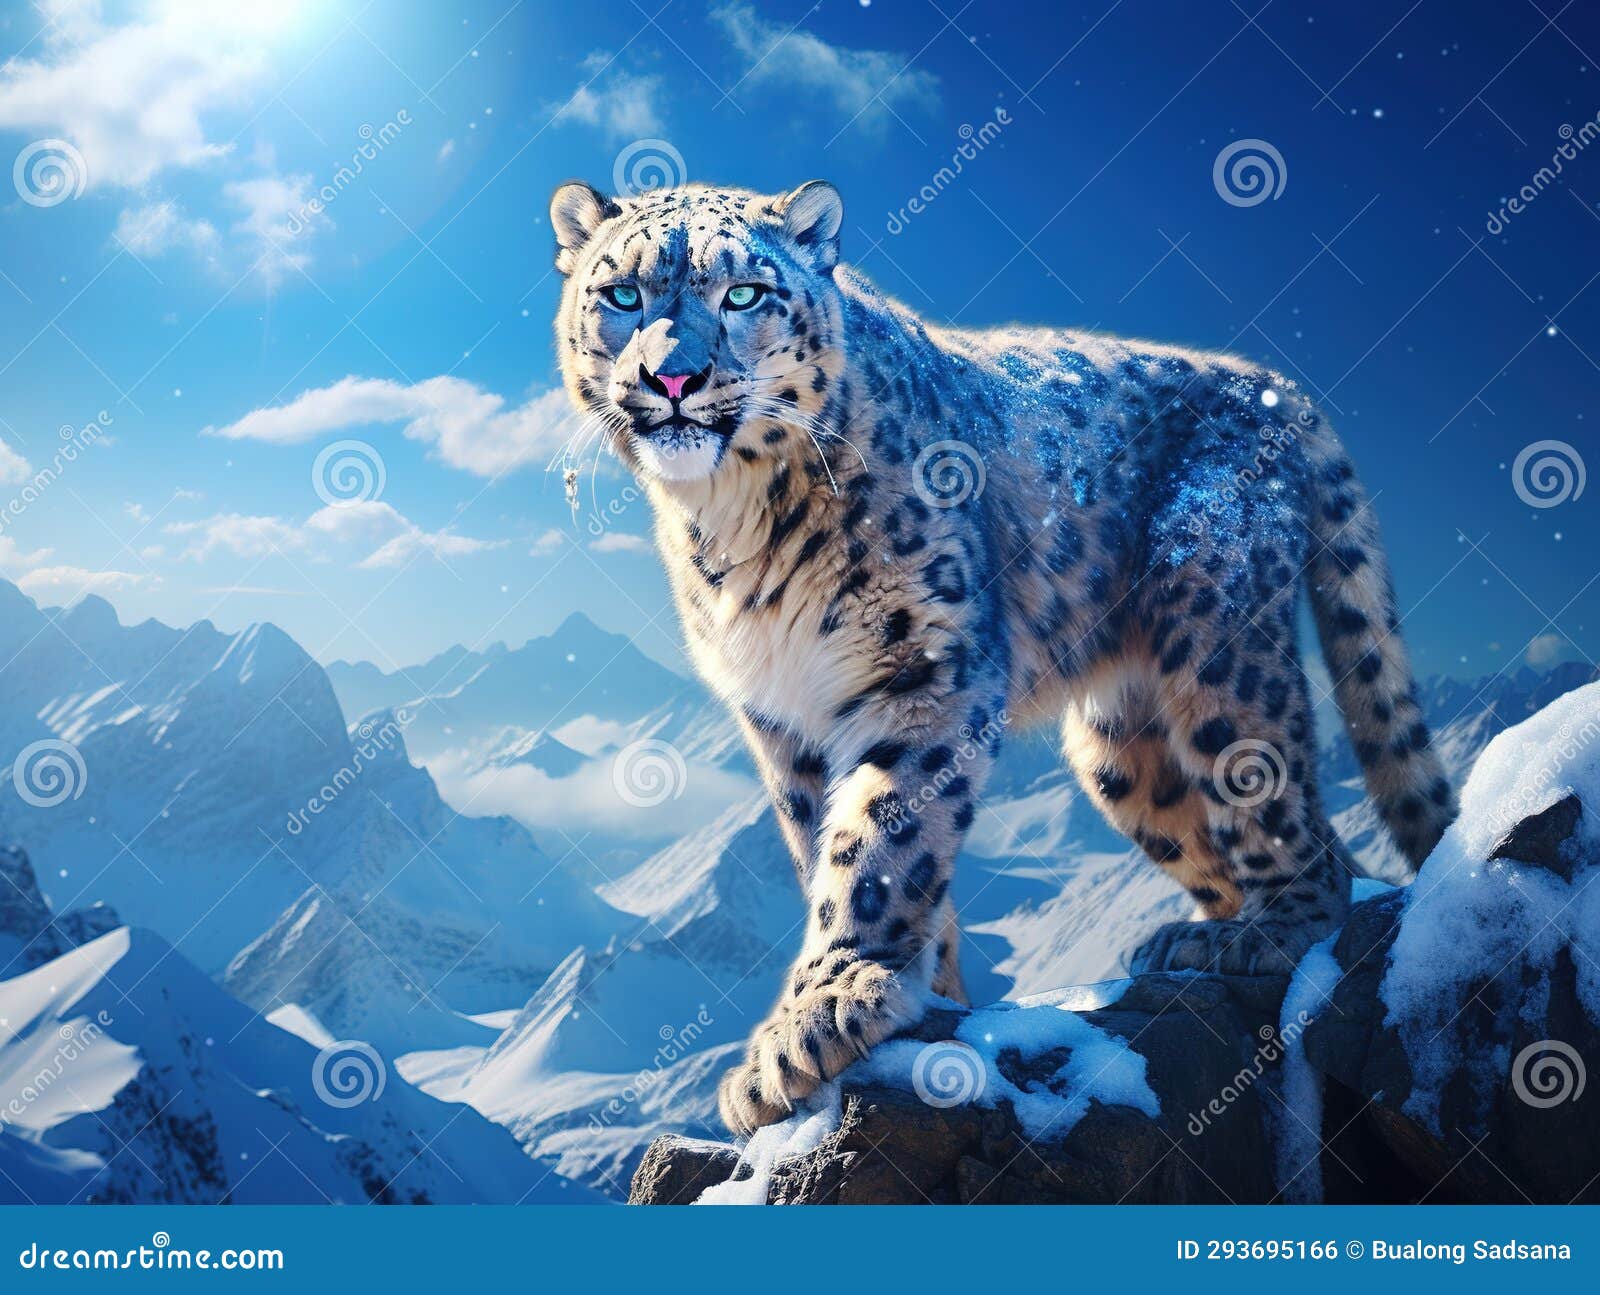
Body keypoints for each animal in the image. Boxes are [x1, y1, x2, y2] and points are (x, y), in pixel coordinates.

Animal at [548, 178, 1457, 1137]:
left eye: (745, 293)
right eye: (622, 294)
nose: (671, 377)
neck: (733, 521)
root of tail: (1270, 381)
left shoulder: (922, 671)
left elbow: (880, 840)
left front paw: (819, 1016)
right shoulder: (780, 713)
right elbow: (821, 842)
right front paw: (933, 994)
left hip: (1218, 645)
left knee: (1290, 814)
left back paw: (1258, 934)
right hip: (1121, 756)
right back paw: (1188, 938)